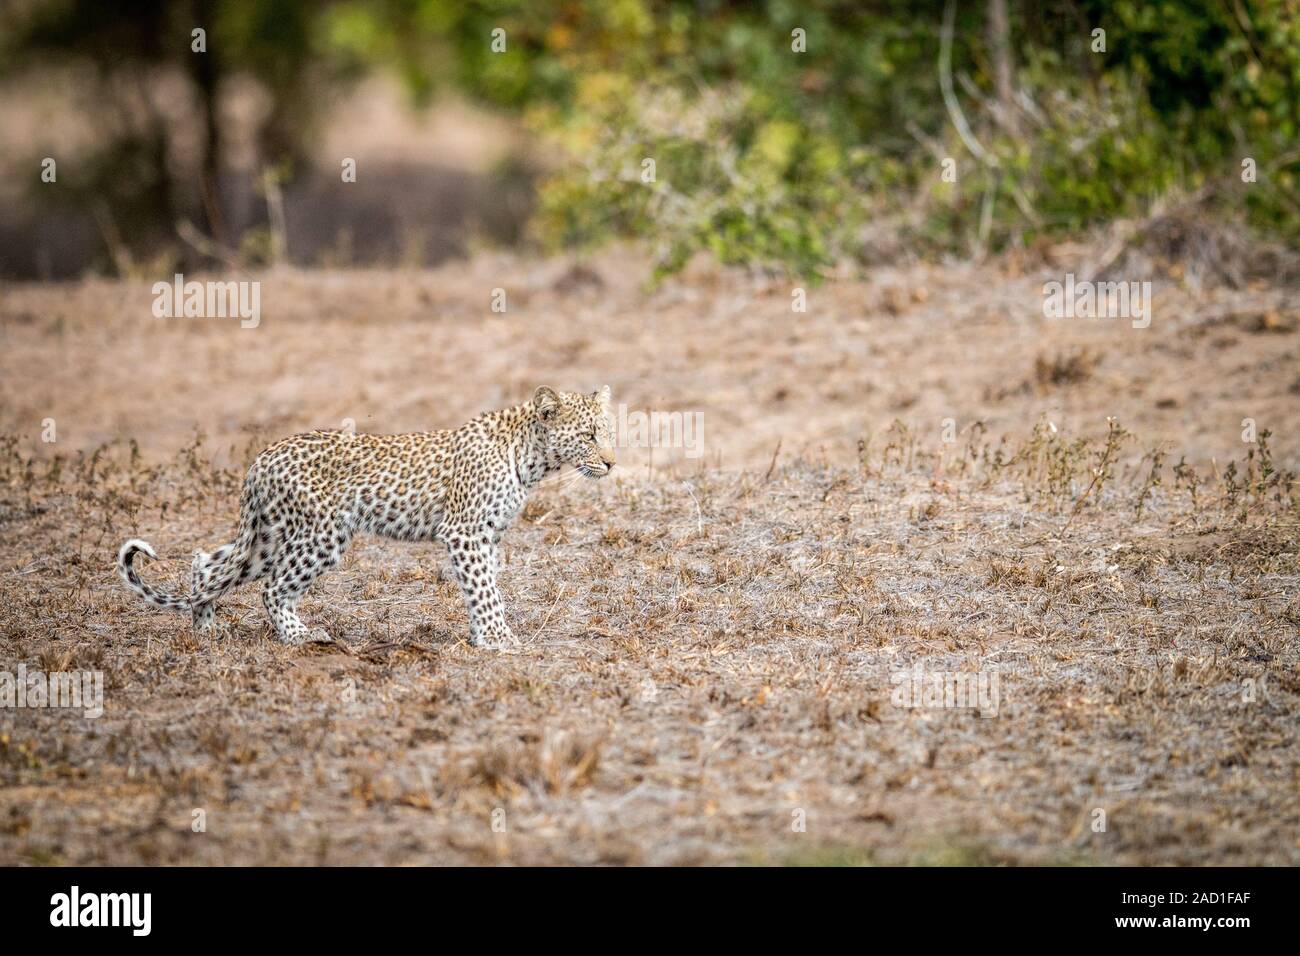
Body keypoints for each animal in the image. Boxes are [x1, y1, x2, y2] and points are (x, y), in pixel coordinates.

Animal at [118, 386, 616, 648]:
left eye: (609, 433)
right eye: (589, 436)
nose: (612, 463)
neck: (533, 458)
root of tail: (261, 457)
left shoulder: (486, 536)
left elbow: (482, 588)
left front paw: (482, 637)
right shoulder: (465, 532)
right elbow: (487, 591)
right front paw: (500, 640)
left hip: (269, 536)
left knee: (207, 565)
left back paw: (206, 632)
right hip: (320, 535)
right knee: (272, 588)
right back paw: (303, 637)